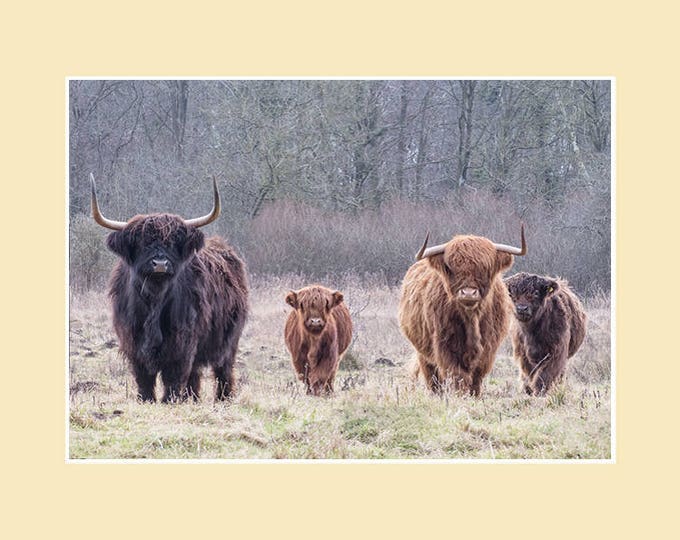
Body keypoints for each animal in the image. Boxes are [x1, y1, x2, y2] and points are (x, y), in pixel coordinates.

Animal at [90, 174, 249, 403]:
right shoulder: (132, 338)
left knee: (223, 370)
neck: (155, 298)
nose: (160, 263)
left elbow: (174, 373)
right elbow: (143, 375)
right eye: (143, 243)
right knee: (195, 373)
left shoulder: (182, 338)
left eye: (173, 242)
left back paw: (222, 399)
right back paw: (192, 399)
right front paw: (146, 399)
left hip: (229, 340)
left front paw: (169, 400)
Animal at [399, 225, 526, 396]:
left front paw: (474, 395)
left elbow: (477, 376)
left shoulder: (488, 349)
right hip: (422, 350)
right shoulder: (445, 346)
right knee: (432, 377)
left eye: (485, 268)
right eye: (451, 267)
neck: (472, 318)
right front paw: (460, 395)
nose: (468, 293)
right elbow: (457, 375)